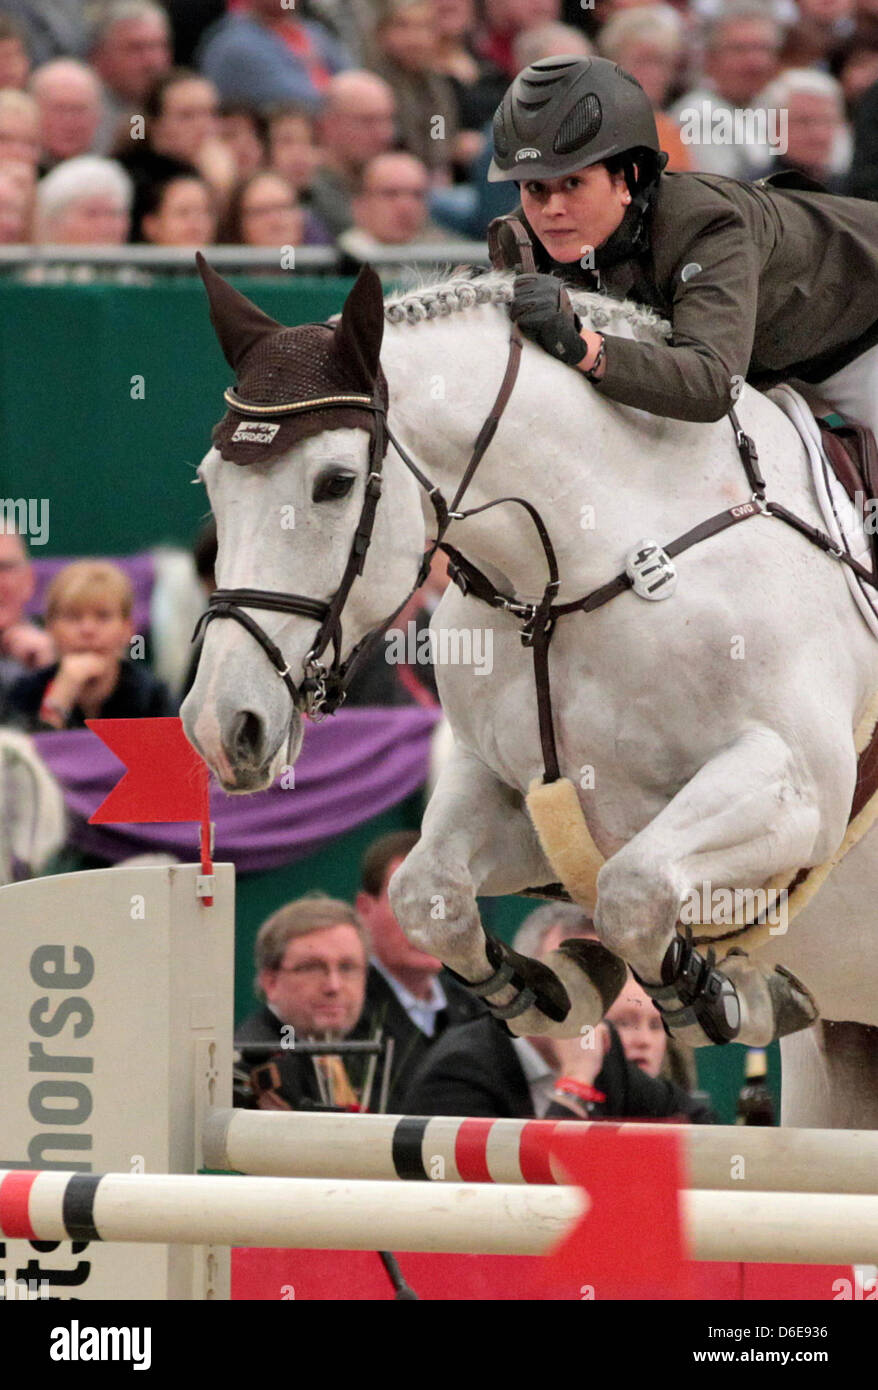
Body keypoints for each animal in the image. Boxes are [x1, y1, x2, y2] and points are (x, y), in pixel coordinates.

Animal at [181, 258, 878, 1129]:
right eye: (211, 482)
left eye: (335, 483)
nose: (220, 725)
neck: (575, 572)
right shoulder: (524, 796)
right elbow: (429, 894)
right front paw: (560, 985)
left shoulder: (798, 792)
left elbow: (635, 891)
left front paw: (728, 994)